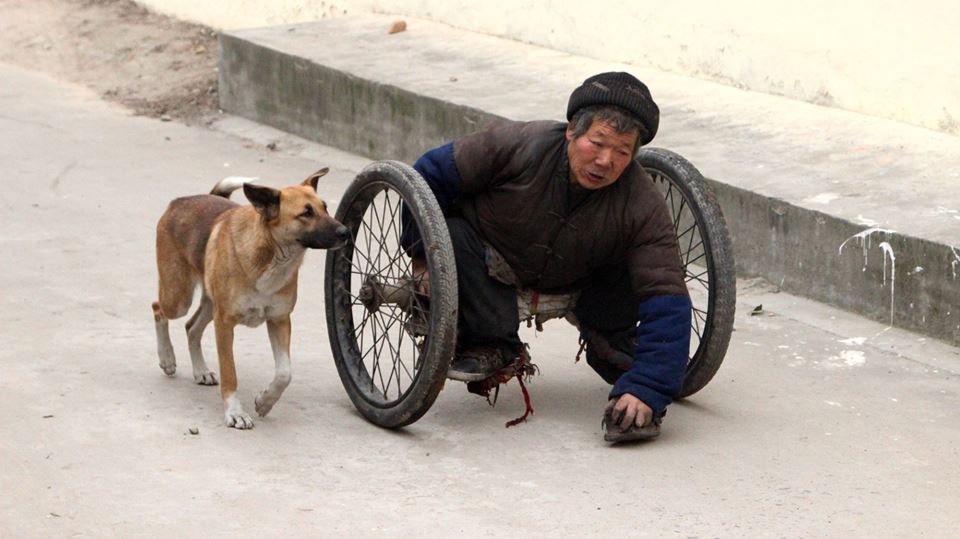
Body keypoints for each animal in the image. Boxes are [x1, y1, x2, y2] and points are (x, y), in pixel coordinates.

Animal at [156, 169, 350, 430]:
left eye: (325, 207)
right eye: (306, 213)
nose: (346, 232)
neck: (272, 256)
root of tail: (180, 201)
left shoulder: (279, 320)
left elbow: (284, 373)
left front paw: (265, 401)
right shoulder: (225, 323)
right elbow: (230, 373)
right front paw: (235, 413)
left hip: (210, 304)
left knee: (191, 327)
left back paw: (201, 370)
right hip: (178, 297)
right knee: (159, 309)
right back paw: (167, 357)